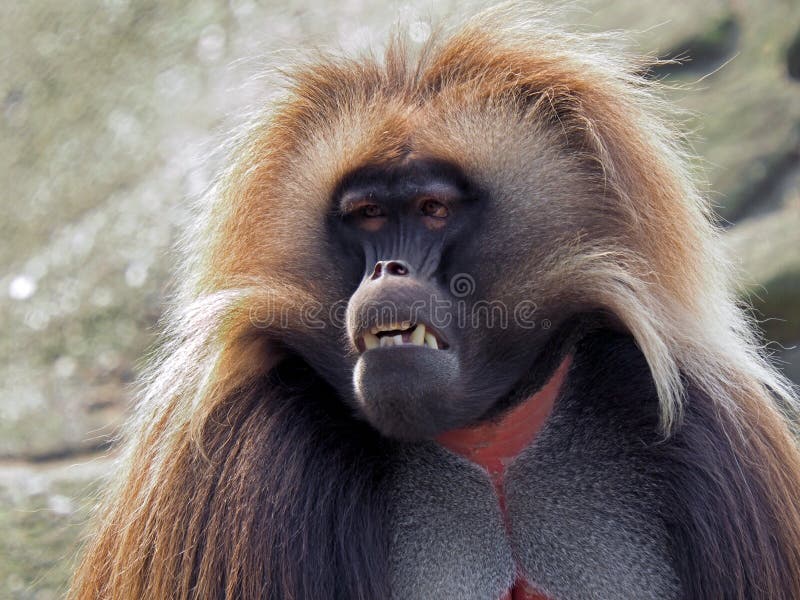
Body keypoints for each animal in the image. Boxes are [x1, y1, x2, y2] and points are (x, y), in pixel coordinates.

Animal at [71, 6, 800, 600]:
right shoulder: (239, 458)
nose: (386, 269)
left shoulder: (711, 426)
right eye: (367, 214)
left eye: (431, 208)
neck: (487, 441)